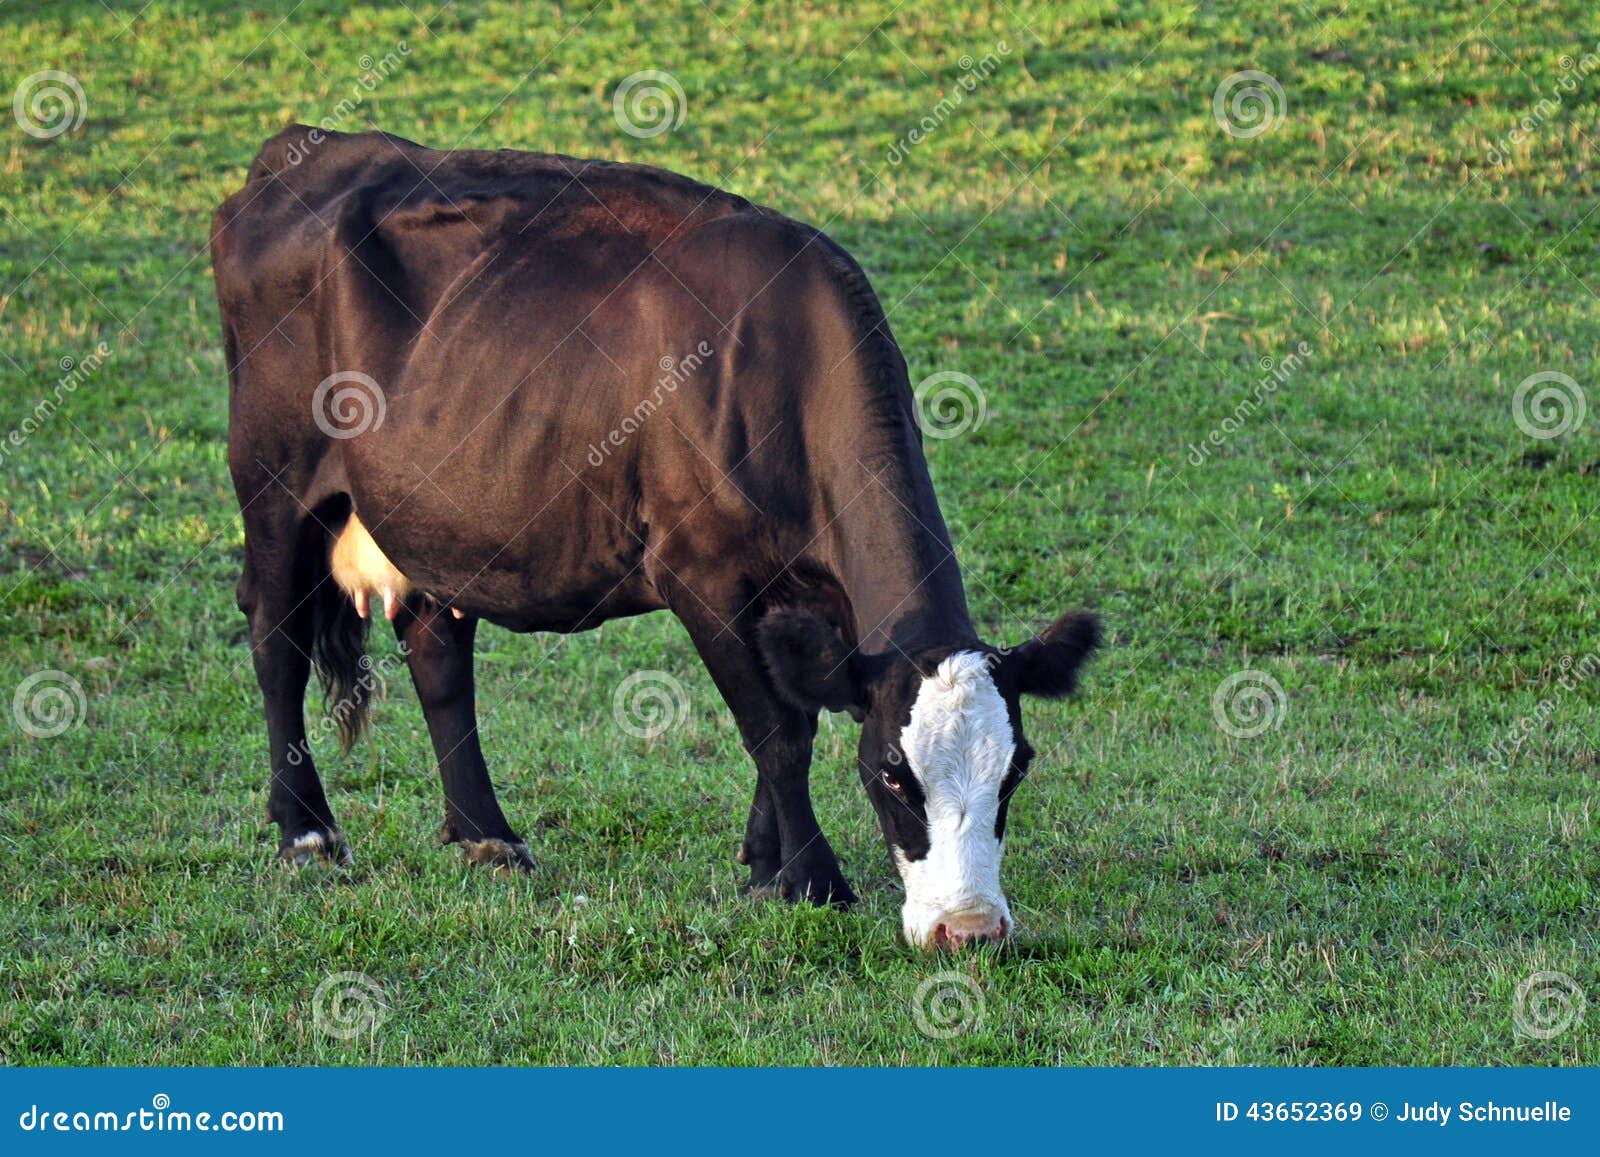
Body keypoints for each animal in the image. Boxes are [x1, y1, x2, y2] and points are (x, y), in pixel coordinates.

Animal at [210, 126, 1099, 950]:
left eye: (1015, 769)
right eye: (892, 774)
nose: (970, 929)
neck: (785, 364)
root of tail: (301, 149)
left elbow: (798, 717)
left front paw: (764, 863)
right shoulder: (700, 575)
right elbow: (777, 733)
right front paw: (814, 880)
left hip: (432, 512)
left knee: (436, 653)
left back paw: (488, 835)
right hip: (274, 480)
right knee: (277, 640)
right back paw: (306, 830)